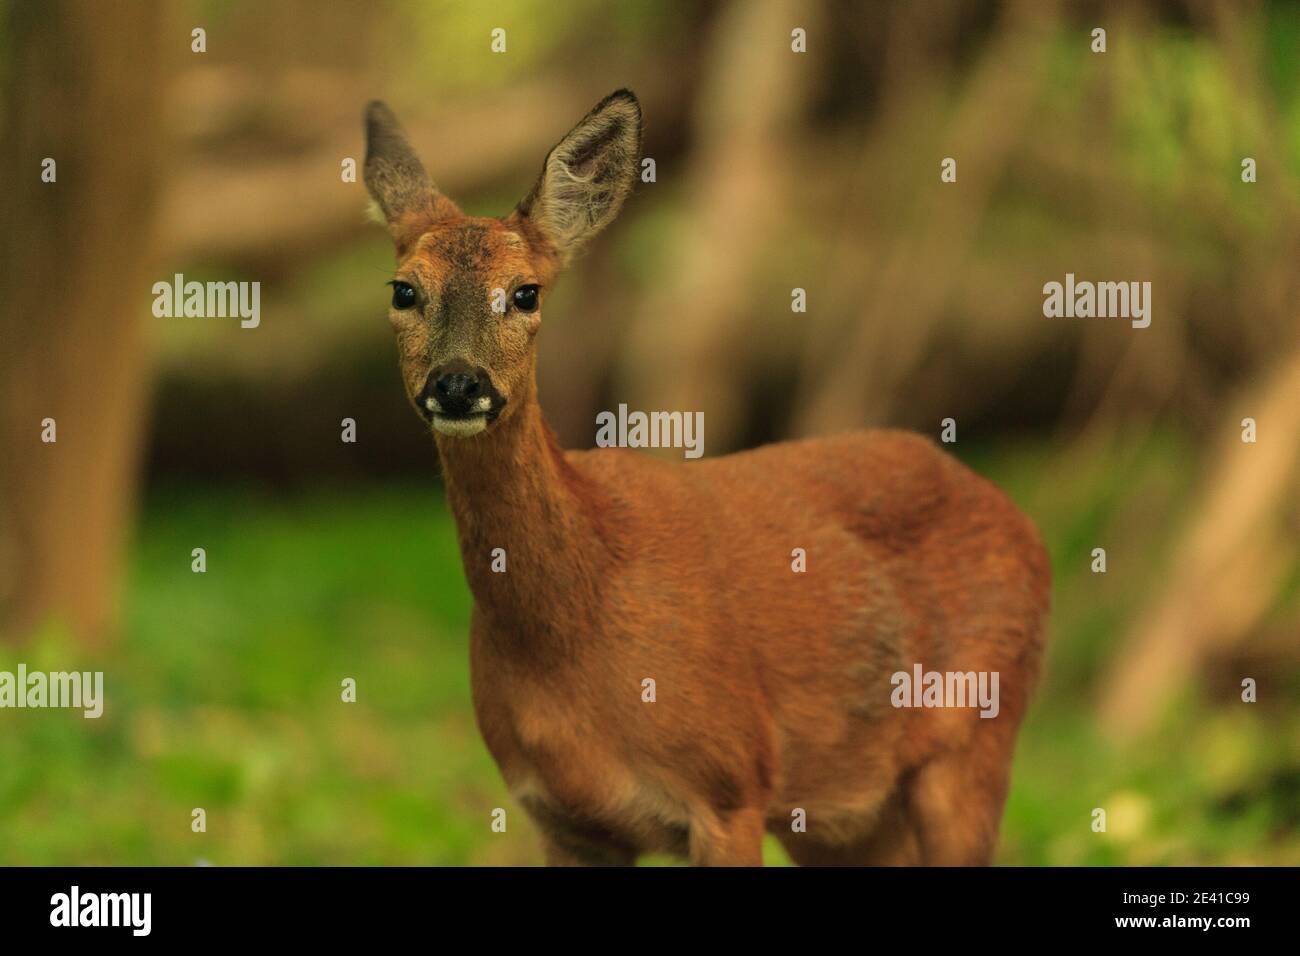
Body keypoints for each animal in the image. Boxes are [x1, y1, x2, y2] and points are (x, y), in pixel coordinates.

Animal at [362, 89, 1051, 866]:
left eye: (527, 292)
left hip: (979, 733)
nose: (457, 383)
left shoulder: (732, 783)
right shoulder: (563, 818)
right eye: (403, 290)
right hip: (849, 816)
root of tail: (1015, 515)